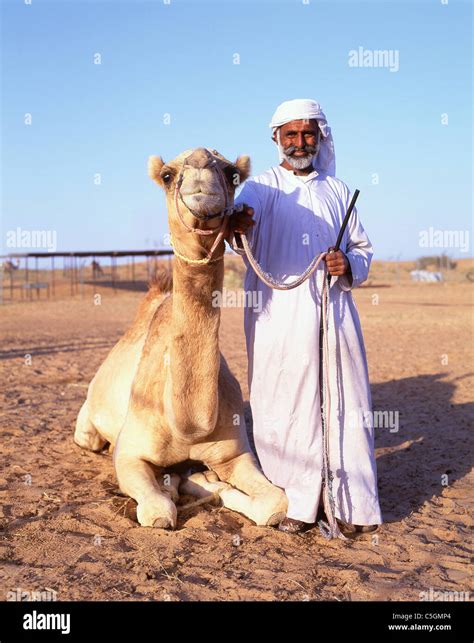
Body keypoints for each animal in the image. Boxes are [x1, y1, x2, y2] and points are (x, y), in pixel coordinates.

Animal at [74, 147, 288, 529]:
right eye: (168, 175)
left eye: (232, 173)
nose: (201, 167)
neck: (187, 425)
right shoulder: (128, 454)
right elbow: (159, 512)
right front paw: (180, 486)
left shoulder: (236, 454)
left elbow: (276, 502)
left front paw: (205, 480)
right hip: (86, 425)